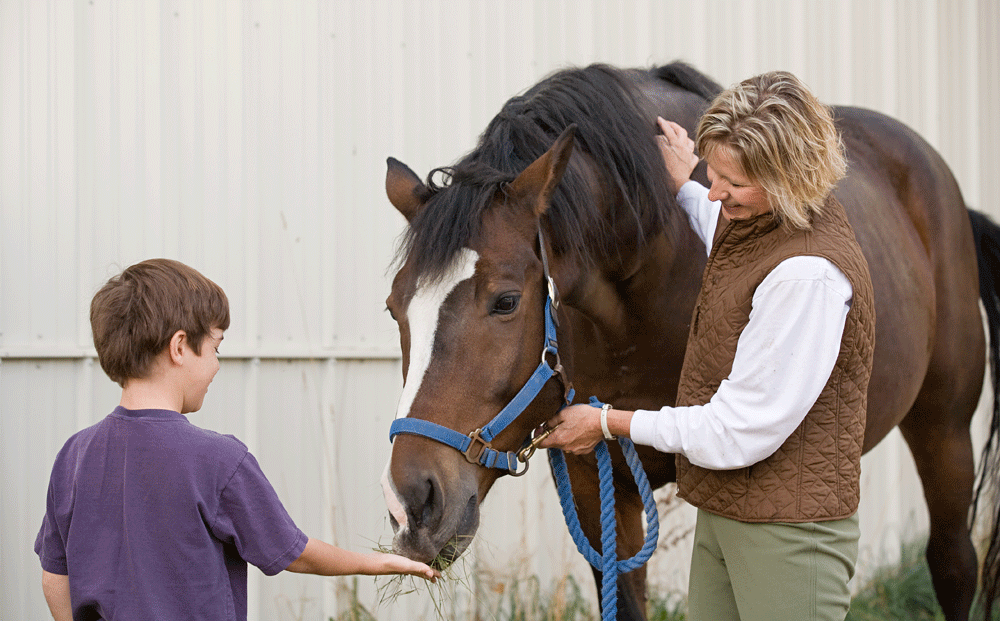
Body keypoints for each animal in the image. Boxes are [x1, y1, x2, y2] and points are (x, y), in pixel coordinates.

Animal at [379, 62, 1000, 621]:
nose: (411, 505)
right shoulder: (600, 482)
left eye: (506, 301)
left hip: (944, 427)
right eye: (393, 307)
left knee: (952, 562)